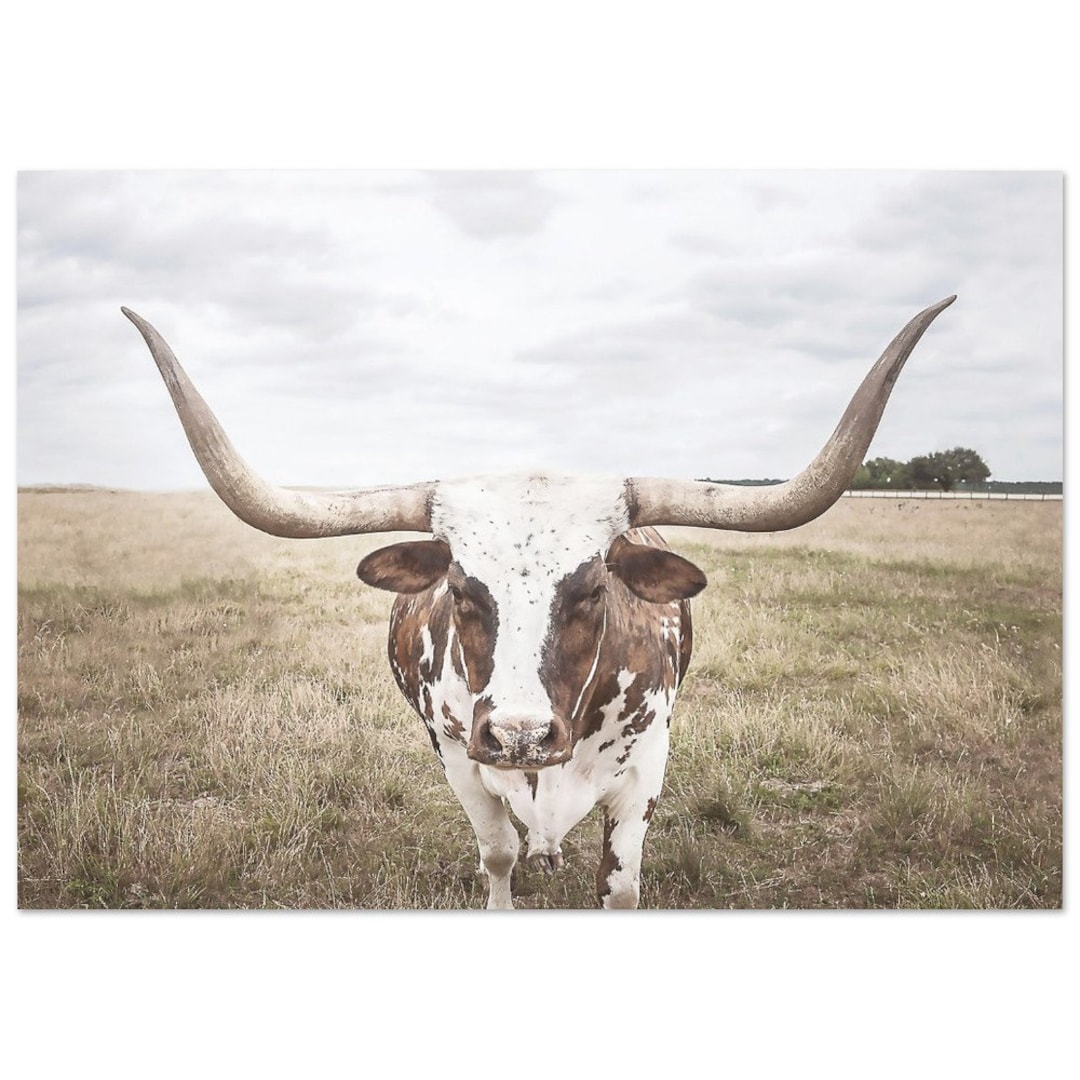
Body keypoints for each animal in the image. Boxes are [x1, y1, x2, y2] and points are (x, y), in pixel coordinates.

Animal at [122, 295, 955, 908]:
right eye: (461, 587)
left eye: (592, 587)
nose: (520, 735)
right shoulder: (458, 754)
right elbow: (496, 856)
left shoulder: (647, 768)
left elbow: (620, 886)